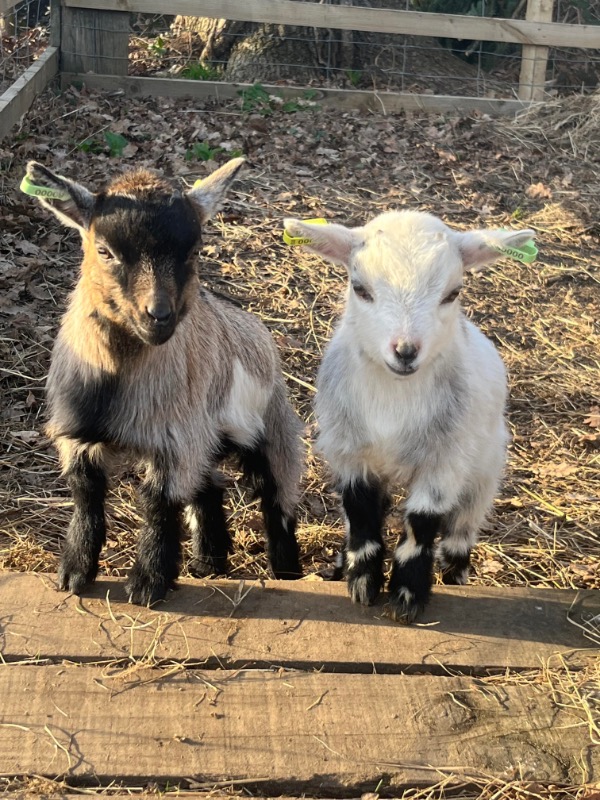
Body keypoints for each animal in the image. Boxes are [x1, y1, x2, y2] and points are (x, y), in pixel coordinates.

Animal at [25, 158, 303, 605]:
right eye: (104, 251)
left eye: (193, 251)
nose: (159, 315)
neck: (117, 382)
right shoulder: (79, 434)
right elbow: (86, 495)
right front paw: (74, 573)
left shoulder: (174, 438)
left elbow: (158, 502)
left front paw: (148, 583)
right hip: (208, 436)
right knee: (208, 488)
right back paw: (209, 563)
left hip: (272, 425)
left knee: (277, 497)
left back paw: (287, 572)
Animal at [284, 211, 535, 622]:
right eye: (360, 288)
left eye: (453, 293)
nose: (405, 351)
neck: (394, 400)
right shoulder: (349, 453)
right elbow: (361, 514)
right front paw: (362, 581)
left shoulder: (445, 462)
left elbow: (421, 523)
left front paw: (407, 594)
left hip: (483, 469)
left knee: (460, 531)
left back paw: (456, 576)